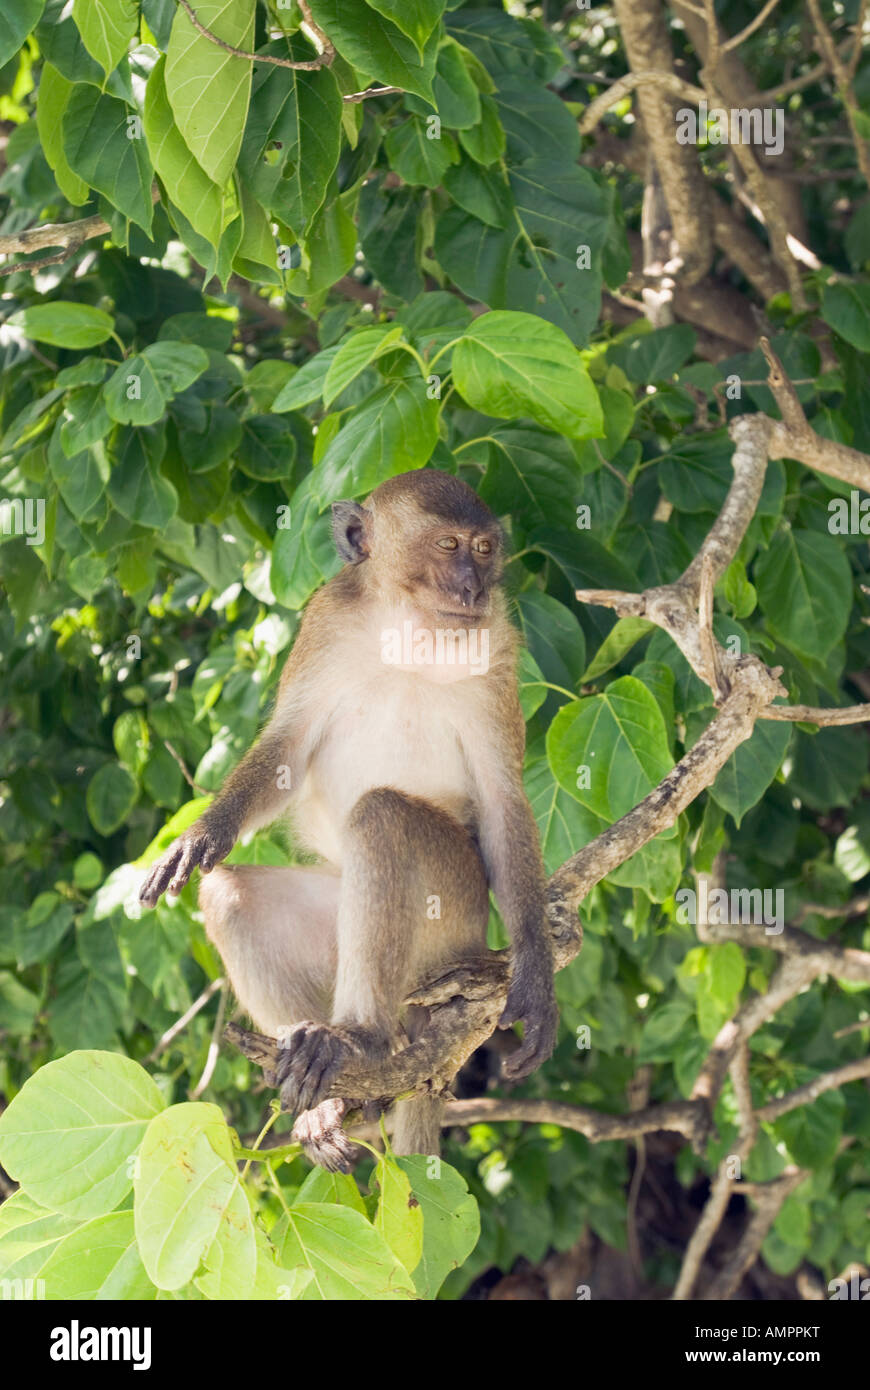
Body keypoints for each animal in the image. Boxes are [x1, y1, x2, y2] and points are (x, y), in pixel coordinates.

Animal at [139, 469, 558, 1170]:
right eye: (448, 546)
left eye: (483, 549)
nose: (472, 589)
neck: (408, 627)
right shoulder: (327, 619)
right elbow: (287, 747)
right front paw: (203, 835)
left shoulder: (498, 643)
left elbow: (503, 800)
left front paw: (535, 976)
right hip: (339, 934)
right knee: (231, 897)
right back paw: (326, 1076)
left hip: (453, 920)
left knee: (383, 816)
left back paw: (357, 1039)